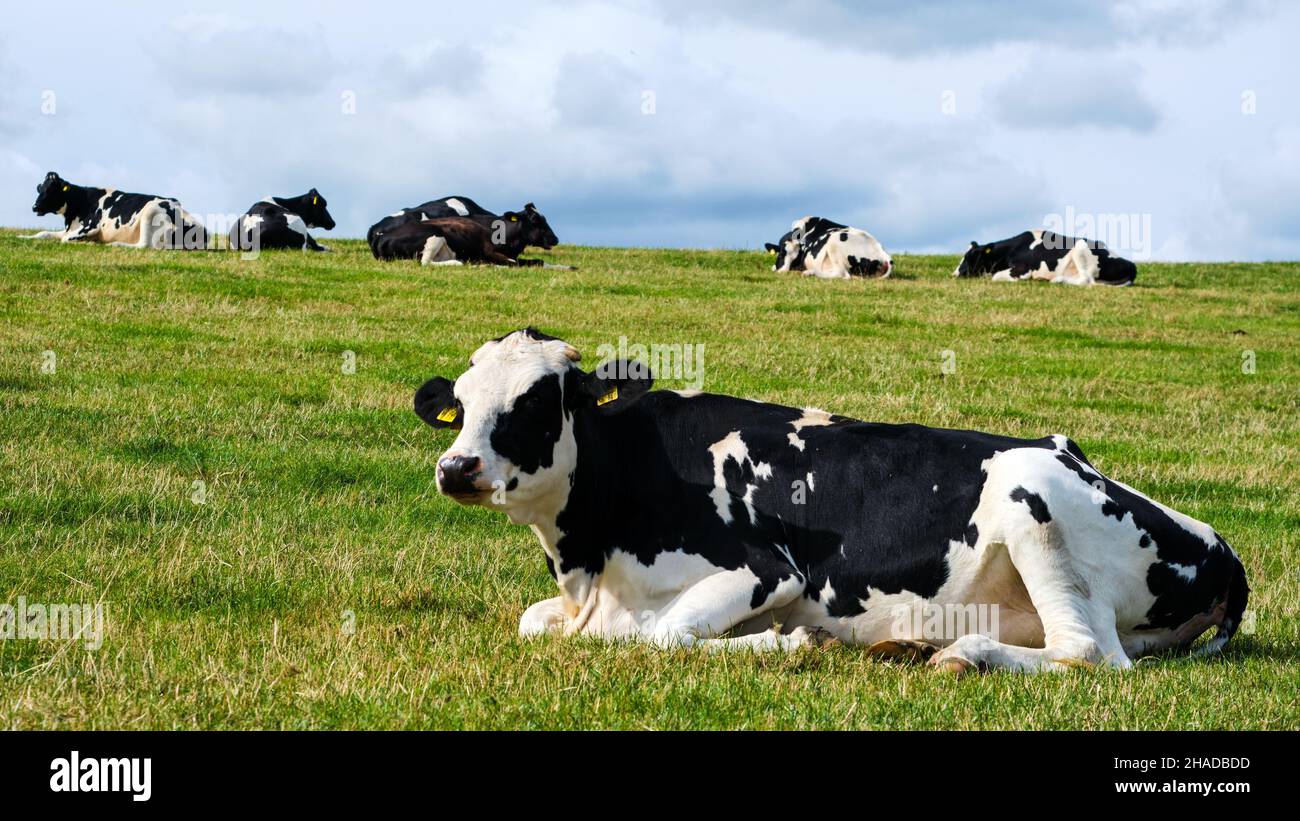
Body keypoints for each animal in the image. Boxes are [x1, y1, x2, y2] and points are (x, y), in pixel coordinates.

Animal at [22, 171, 207, 249]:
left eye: (51, 190)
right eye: (40, 189)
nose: (34, 207)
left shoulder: (91, 226)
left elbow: (65, 240)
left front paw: (90, 242)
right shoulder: (70, 228)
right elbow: (43, 233)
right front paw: (23, 237)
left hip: (150, 211)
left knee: (144, 245)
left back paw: (114, 244)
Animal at [372, 215, 555, 267]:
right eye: (535, 221)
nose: (555, 238)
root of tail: (381, 235)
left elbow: (537, 261)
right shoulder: (491, 253)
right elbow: (514, 263)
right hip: (435, 235)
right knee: (426, 262)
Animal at [412, 328, 1249, 674]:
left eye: (533, 402)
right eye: (462, 401)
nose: (456, 466)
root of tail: (1220, 543)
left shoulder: (767, 569)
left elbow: (665, 636)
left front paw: (784, 644)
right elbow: (533, 622)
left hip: (1031, 495)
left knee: (1088, 653)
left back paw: (960, 656)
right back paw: (911, 646)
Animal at [955, 230, 1137, 286]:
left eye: (971, 256)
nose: (955, 274)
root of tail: (1132, 265)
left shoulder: (1023, 269)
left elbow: (996, 276)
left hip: (1080, 247)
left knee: (1086, 280)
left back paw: (1056, 280)